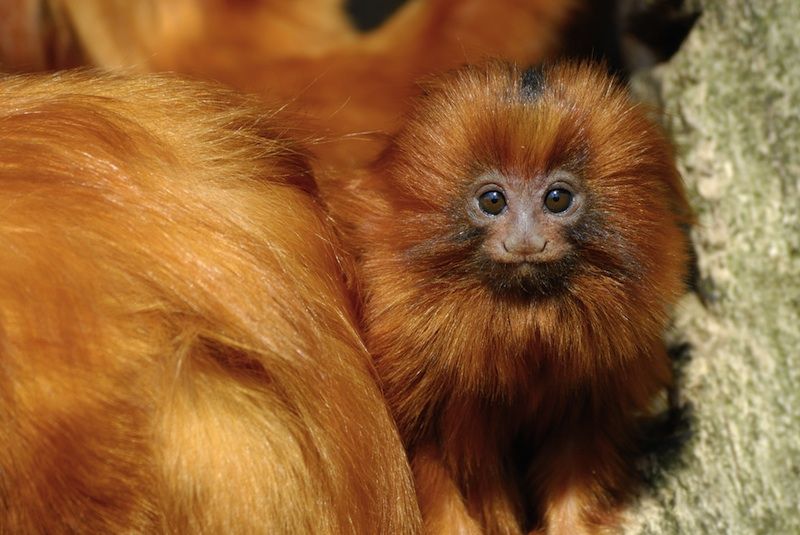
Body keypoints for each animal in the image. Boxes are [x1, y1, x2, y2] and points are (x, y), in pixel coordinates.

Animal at [352, 62, 692, 534]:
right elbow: (425, 465)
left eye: (557, 198)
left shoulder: (600, 382)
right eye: (493, 200)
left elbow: (577, 459)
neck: (523, 318)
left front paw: (572, 523)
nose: (527, 240)